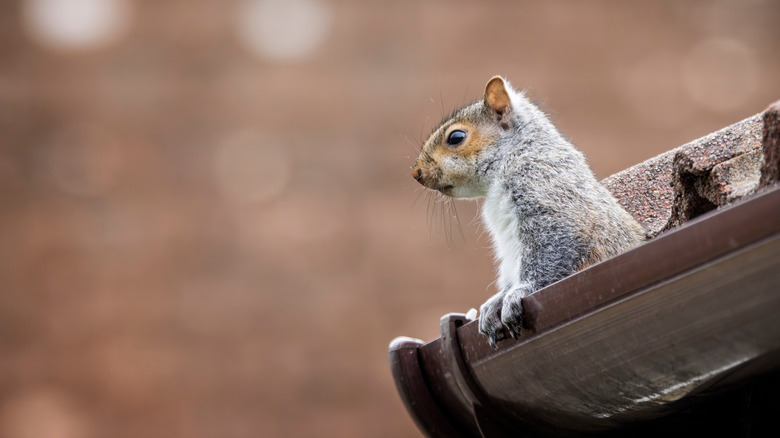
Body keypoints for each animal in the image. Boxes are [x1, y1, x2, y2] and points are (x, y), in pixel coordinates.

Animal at [411, 76, 647, 348]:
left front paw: (520, 292)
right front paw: (495, 302)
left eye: (456, 137)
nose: (416, 173)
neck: (514, 154)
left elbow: (551, 253)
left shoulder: (544, 191)